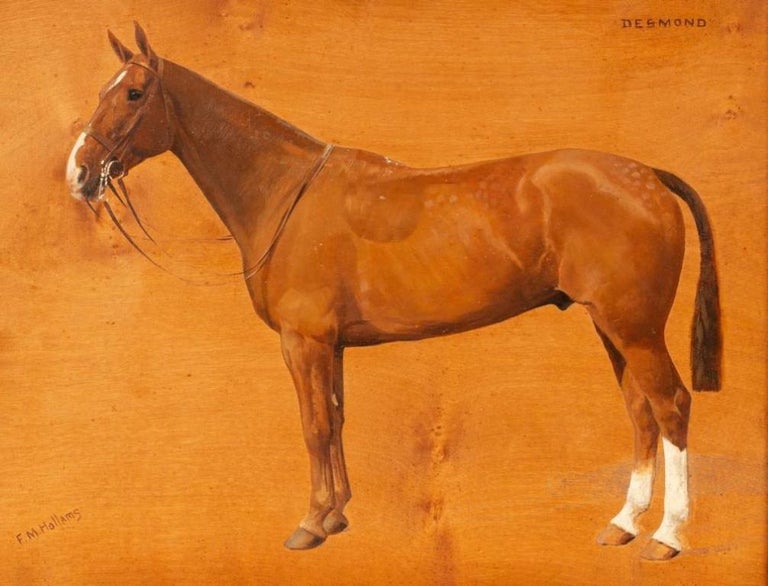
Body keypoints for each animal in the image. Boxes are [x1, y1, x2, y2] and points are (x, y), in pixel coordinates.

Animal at [66, 23, 721, 561]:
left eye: (133, 93)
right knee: (640, 412)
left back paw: (666, 537)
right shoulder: (329, 344)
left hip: (634, 327)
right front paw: (335, 515)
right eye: (103, 90)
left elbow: (312, 425)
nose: (79, 173)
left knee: (670, 406)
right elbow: (335, 418)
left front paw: (310, 524)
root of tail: (647, 175)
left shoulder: (302, 341)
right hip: (612, 326)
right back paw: (623, 524)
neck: (285, 191)